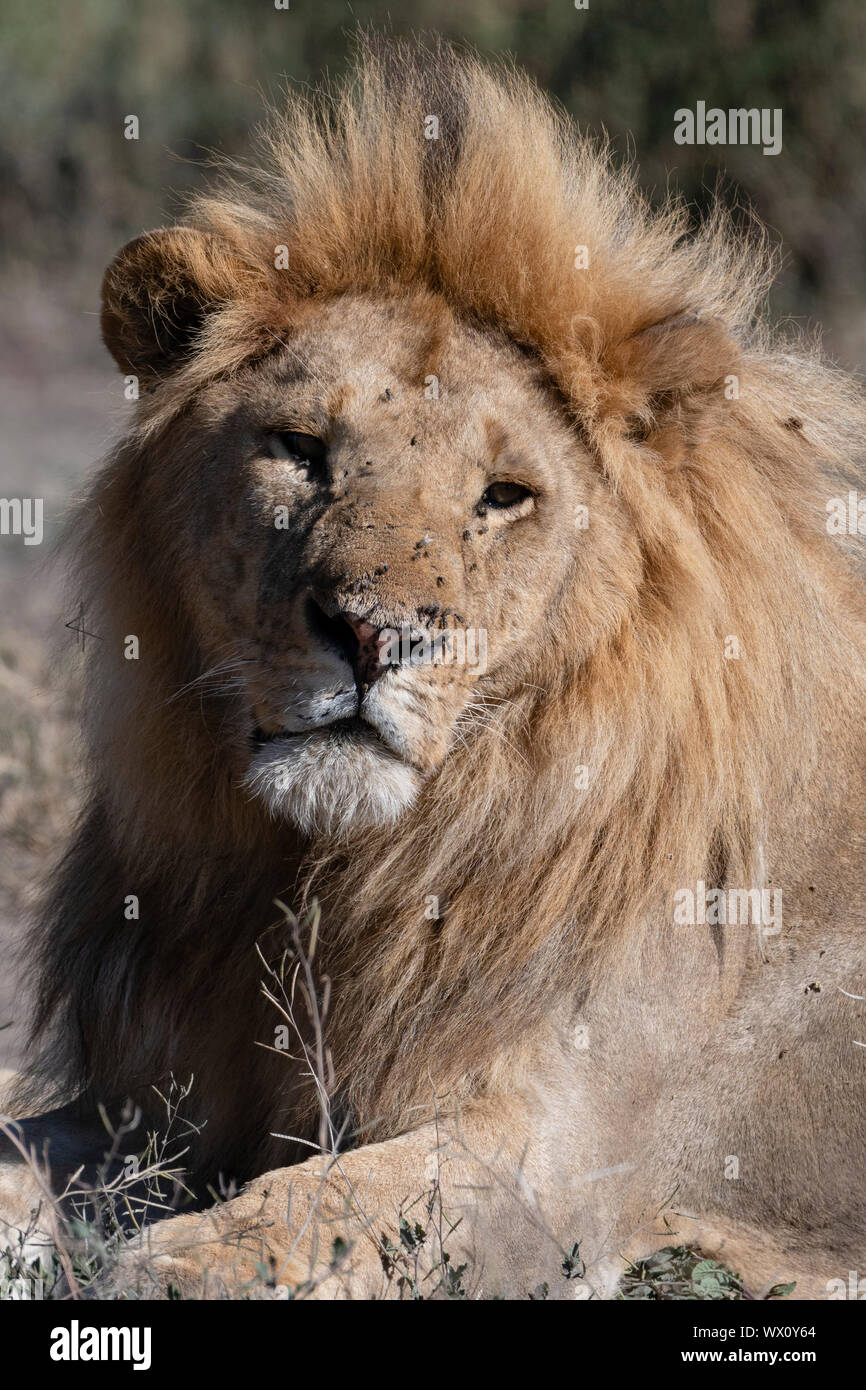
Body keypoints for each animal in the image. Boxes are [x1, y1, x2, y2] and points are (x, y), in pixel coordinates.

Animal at [2, 35, 866, 1300]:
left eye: (502, 495)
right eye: (299, 449)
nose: (373, 634)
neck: (330, 874)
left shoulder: (563, 1158)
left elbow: (319, 1209)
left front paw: (173, 1261)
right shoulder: (153, 1099)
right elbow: (25, 1146)